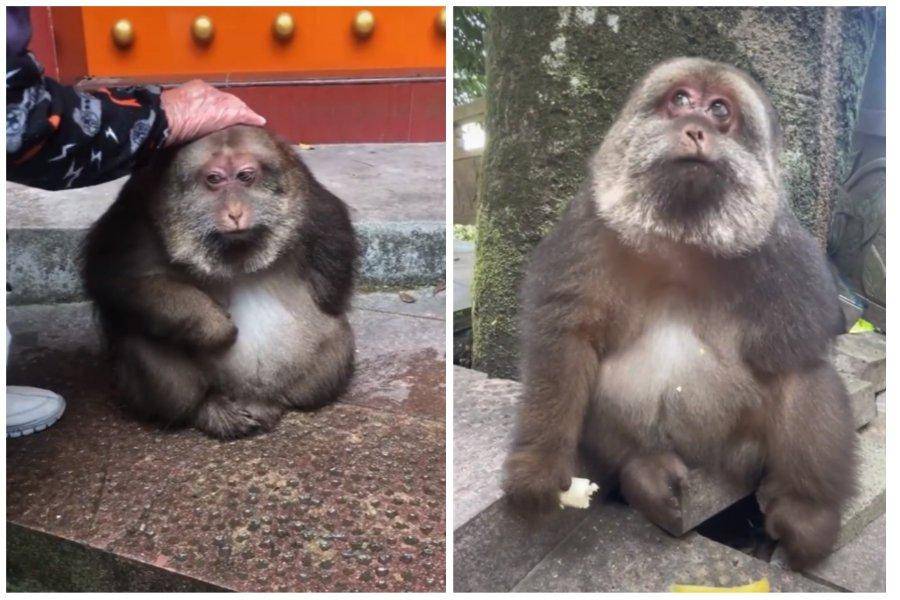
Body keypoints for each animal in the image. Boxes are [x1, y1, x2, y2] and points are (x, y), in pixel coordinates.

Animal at [81, 125, 358, 439]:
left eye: (245, 176)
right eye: (214, 179)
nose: (235, 212)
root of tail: (243, 393)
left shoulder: (309, 197)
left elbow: (333, 275)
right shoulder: (136, 208)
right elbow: (112, 276)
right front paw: (212, 324)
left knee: (336, 333)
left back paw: (272, 403)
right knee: (139, 340)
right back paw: (206, 407)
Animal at [502, 58, 857, 571]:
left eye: (720, 110)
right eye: (681, 100)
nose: (695, 128)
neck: (681, 239)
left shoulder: (783, 248)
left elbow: (799, 354)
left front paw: (809, 509)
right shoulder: (588, 227)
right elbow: (568, 336)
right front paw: (539, 465)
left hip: (738, 445)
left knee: (801, 377)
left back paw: (802, 510)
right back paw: (643, 469)